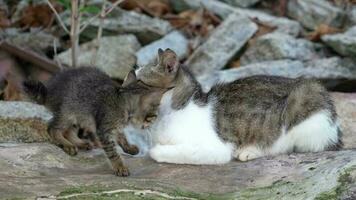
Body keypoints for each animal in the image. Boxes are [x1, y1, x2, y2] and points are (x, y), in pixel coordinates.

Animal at [23, 68, 165, 176]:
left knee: (69, 131)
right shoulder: (104, 130)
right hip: (68, 112)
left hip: (80, 114)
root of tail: (49, 91)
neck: (122, 103)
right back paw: (67, 144)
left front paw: (128, 147)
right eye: (153, 115)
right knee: (52, 128)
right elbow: (113, 152)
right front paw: (120, 166)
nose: (155, 121)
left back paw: (79, 143)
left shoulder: (113, 126)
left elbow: (121, 136)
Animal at [136, 48, 342, 164]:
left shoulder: (215, 149)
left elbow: (173, 152)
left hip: (304, 103)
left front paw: (156, 151)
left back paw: (249, 151)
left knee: (284, 144)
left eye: (138, 81)